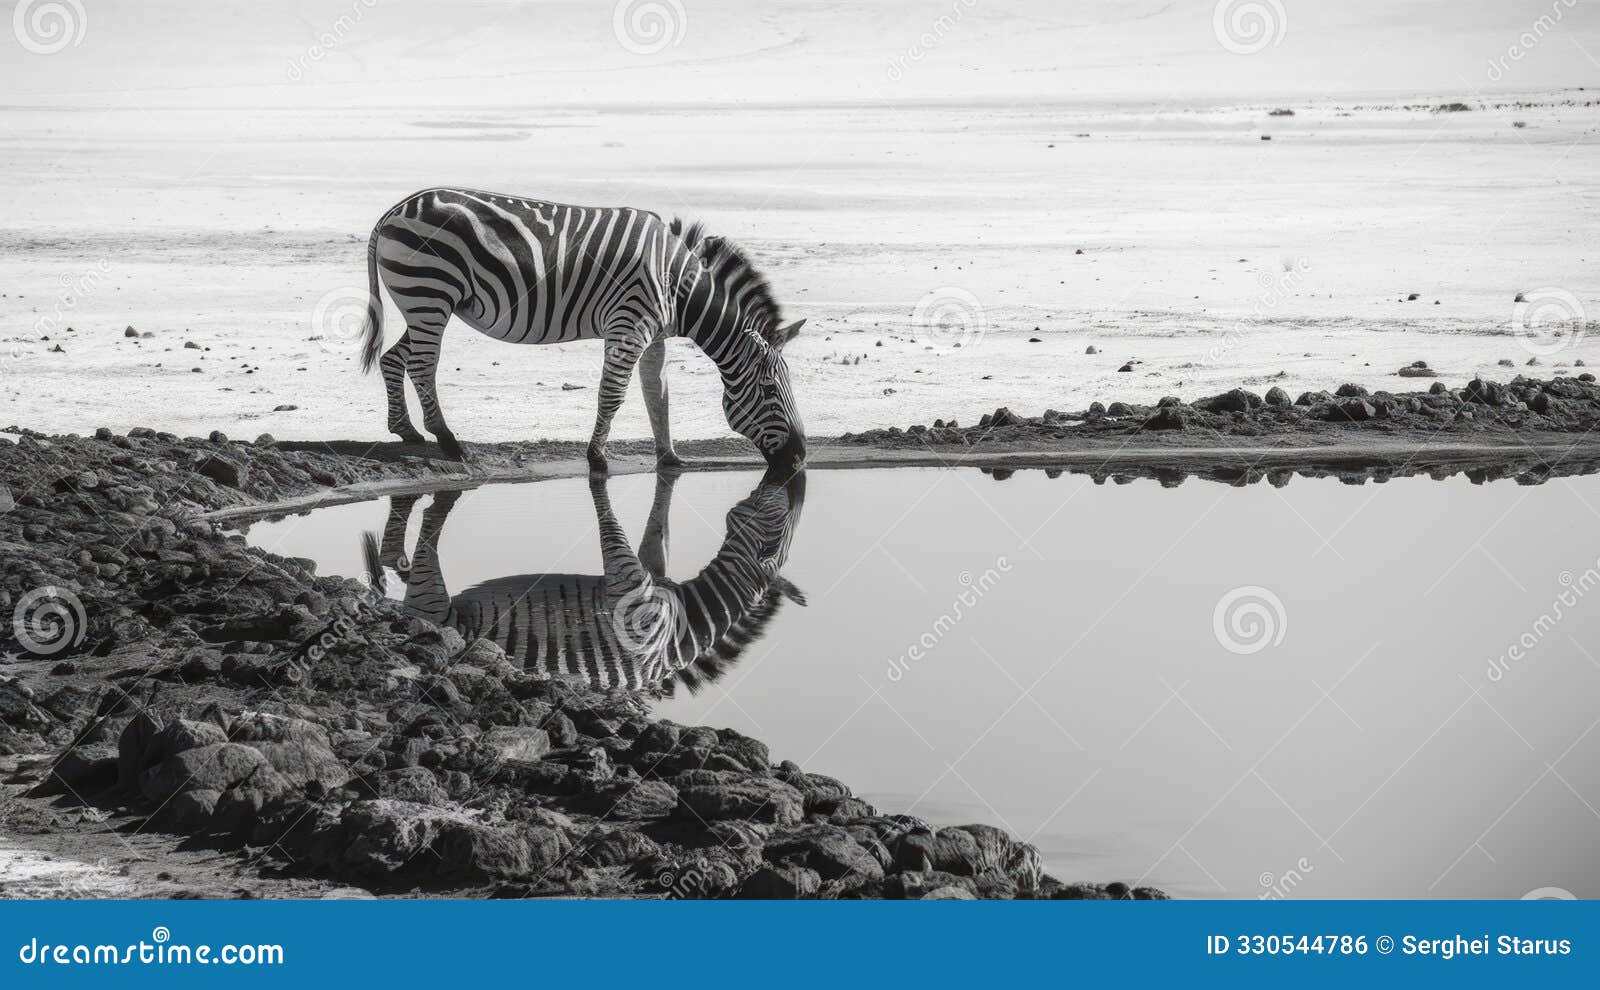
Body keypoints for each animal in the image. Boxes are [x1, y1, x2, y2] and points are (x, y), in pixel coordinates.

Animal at [357, 188, 806, 473]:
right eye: (769, 389)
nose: (801, 459)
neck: (676, 284)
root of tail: (394, 210)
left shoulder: (654, 336)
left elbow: (657, 395)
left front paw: (669, 457)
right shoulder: (629, 325)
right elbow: (614, 395)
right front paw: (597, 457)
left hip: (424, 301)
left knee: (394, 357)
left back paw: (407, 431)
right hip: (431, 292)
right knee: (421, 364)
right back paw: (449, 442)